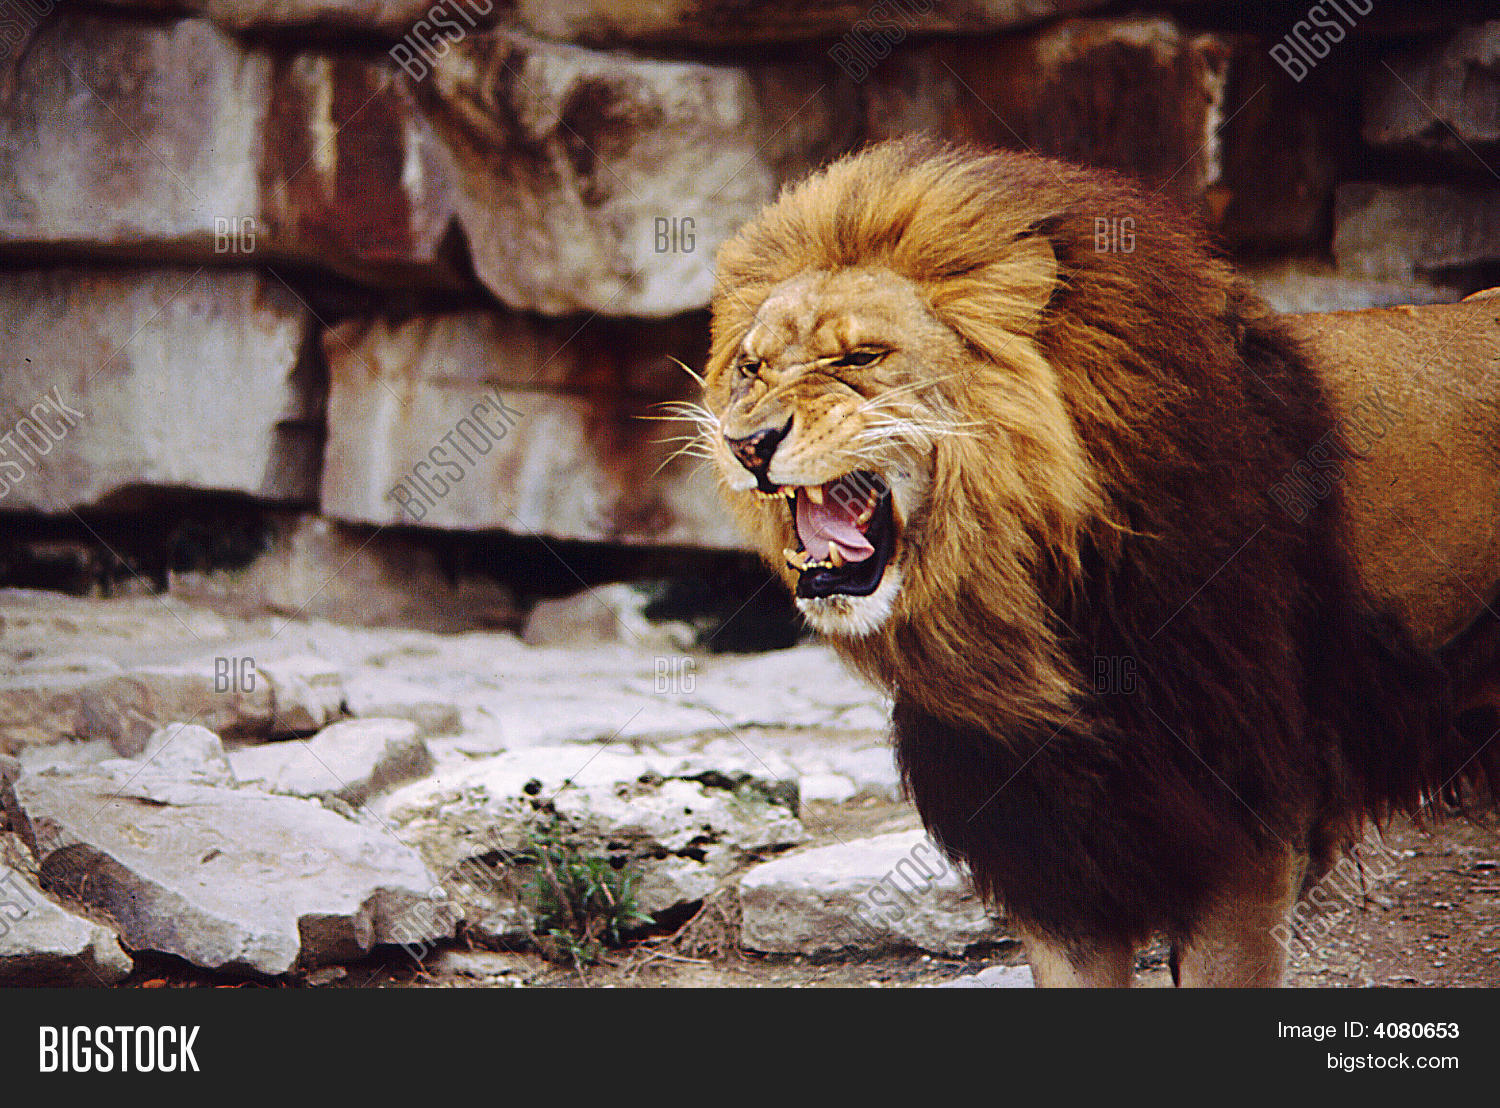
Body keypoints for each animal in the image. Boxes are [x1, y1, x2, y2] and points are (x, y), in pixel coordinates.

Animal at [699, 137, 1500, 987]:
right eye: (751, 368)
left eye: (860, 356)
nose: (745, 444)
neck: (1022, 606)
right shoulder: (1050, 843)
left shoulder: (1242, 828)